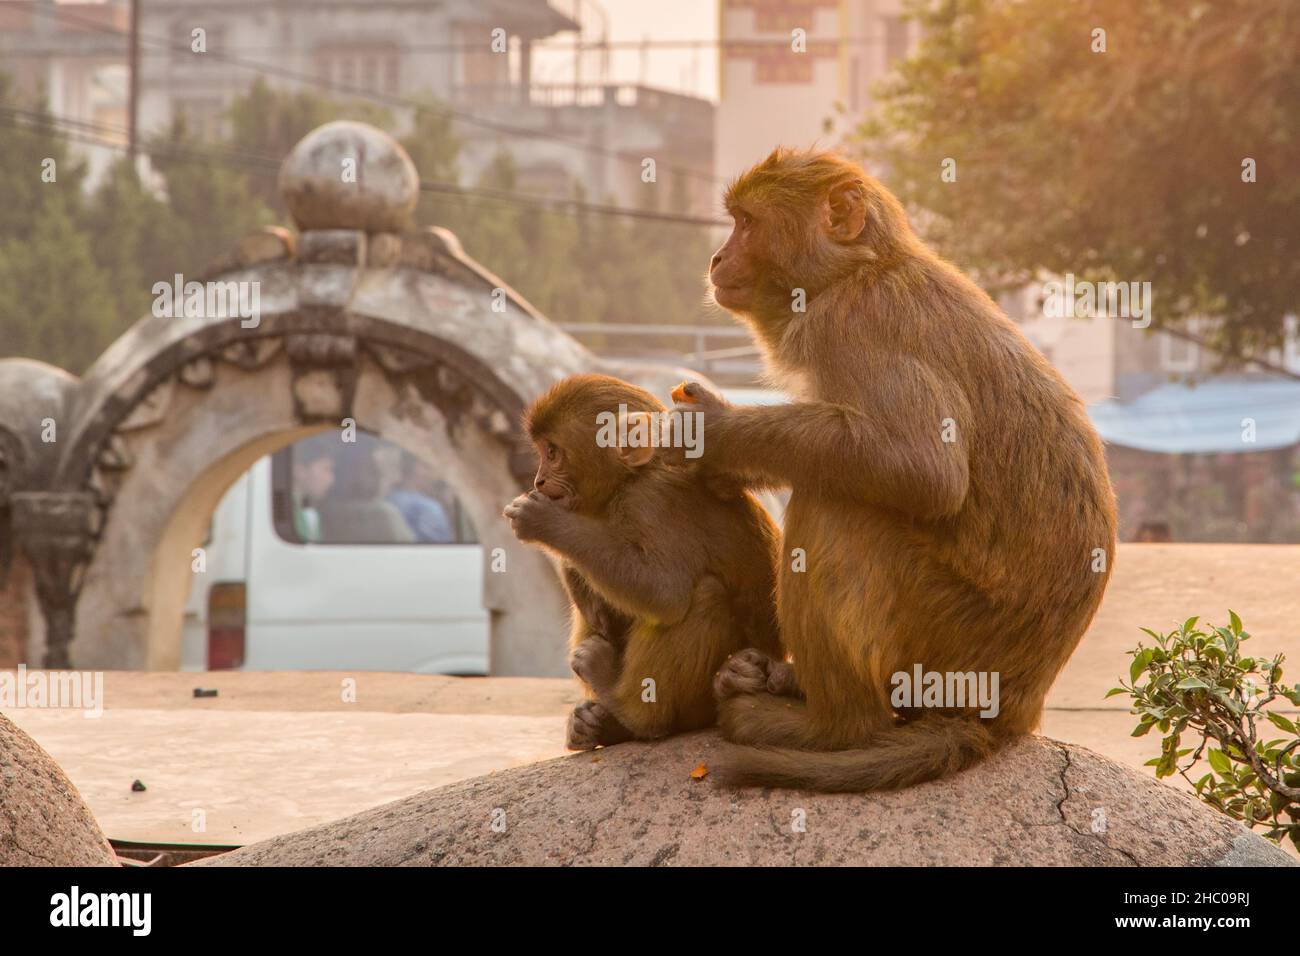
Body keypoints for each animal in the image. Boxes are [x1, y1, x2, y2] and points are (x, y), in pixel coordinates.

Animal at [503, 374, 782, 751]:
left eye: (552, 452)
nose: (538, 481)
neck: (631, 478)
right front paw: (570, 570)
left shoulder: (651, 503)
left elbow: (664, 593)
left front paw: (545, 522)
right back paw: (596, 725)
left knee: (703, 595)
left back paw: (631, 712)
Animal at [670, 147, 1117, 792]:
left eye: (748, 223)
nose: (716, 256)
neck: (857, 271)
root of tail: (1011, 710)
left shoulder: (851, 325)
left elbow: (923, 470)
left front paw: (715, 435)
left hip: (951, 639)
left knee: (837, 506)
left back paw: (830, 727)